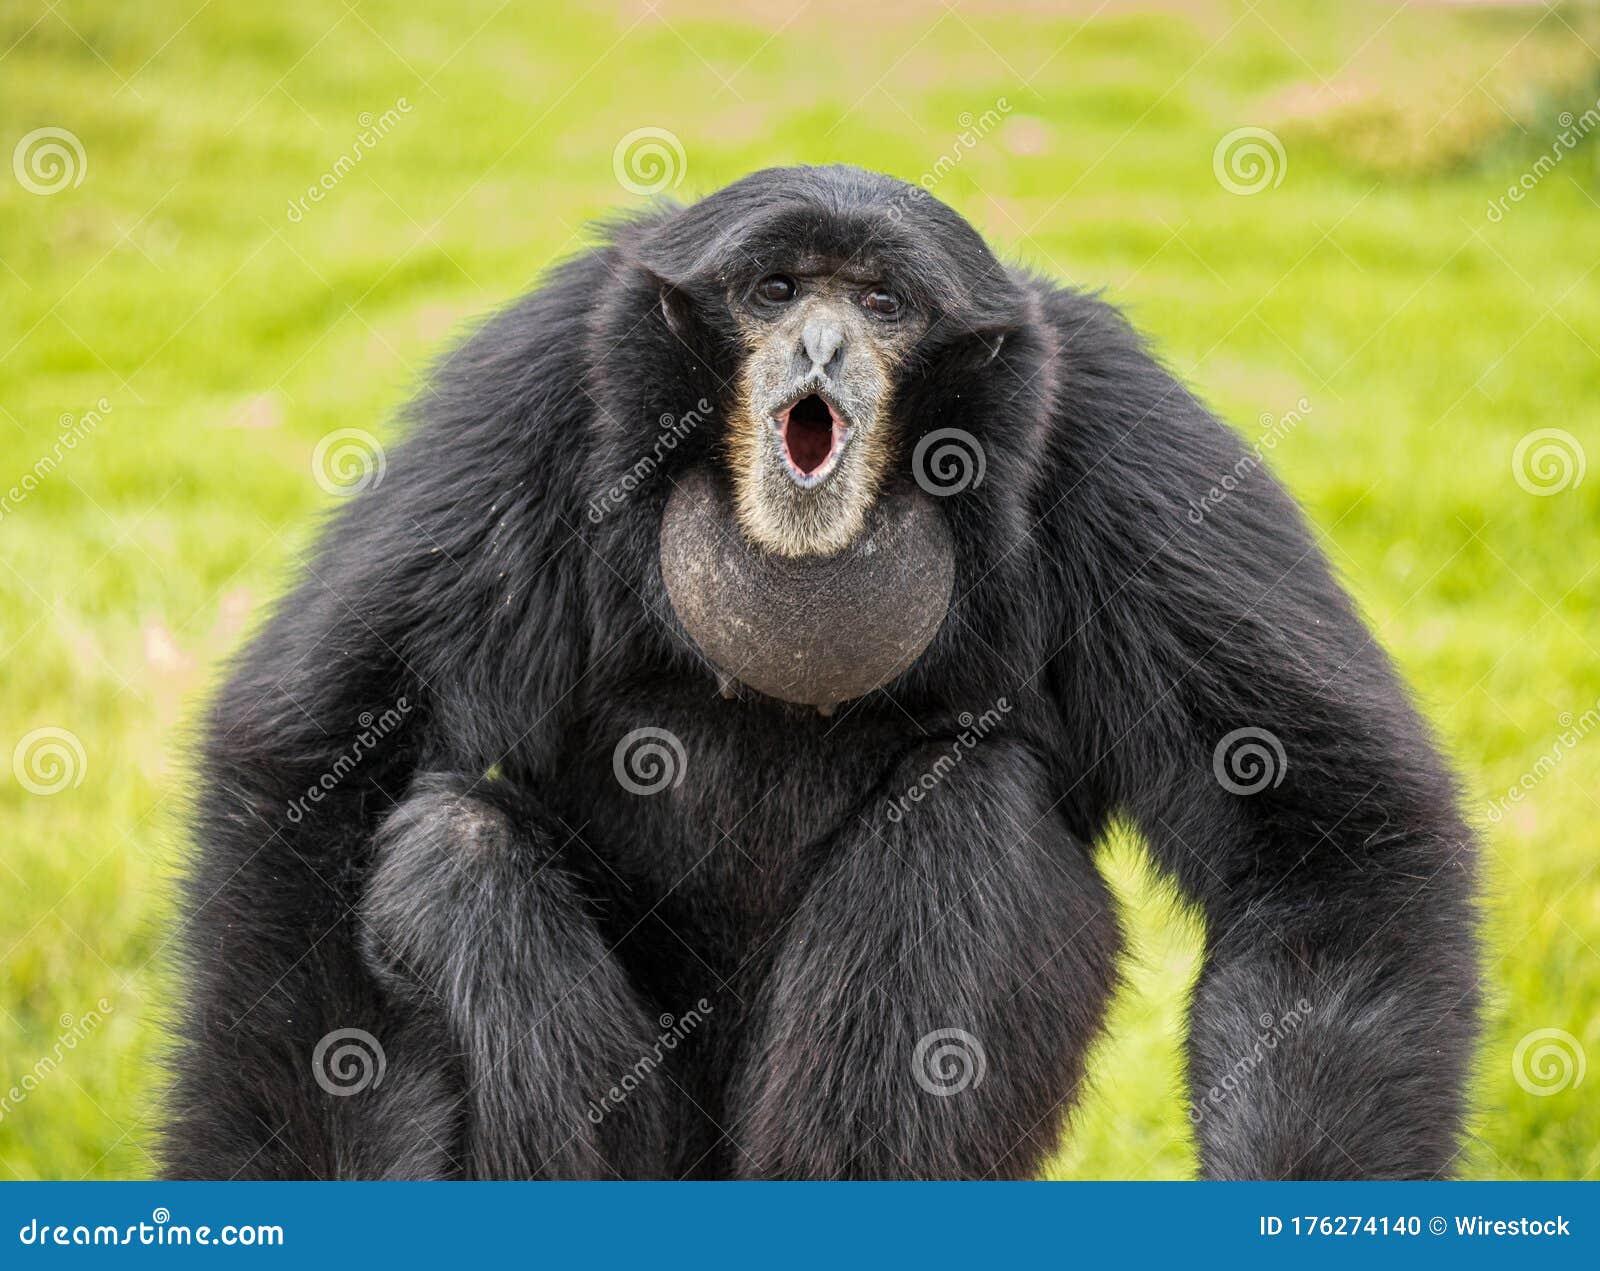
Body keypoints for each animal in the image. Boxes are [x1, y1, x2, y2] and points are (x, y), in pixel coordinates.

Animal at [163, 164, 1479, 1181]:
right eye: (777, 292)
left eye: (882, 301)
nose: (823, 345)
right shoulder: (537, 384)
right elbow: (316, 768)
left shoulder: (1115, 425)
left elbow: (1328, 835)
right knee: (453, 850)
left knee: (965, 807)